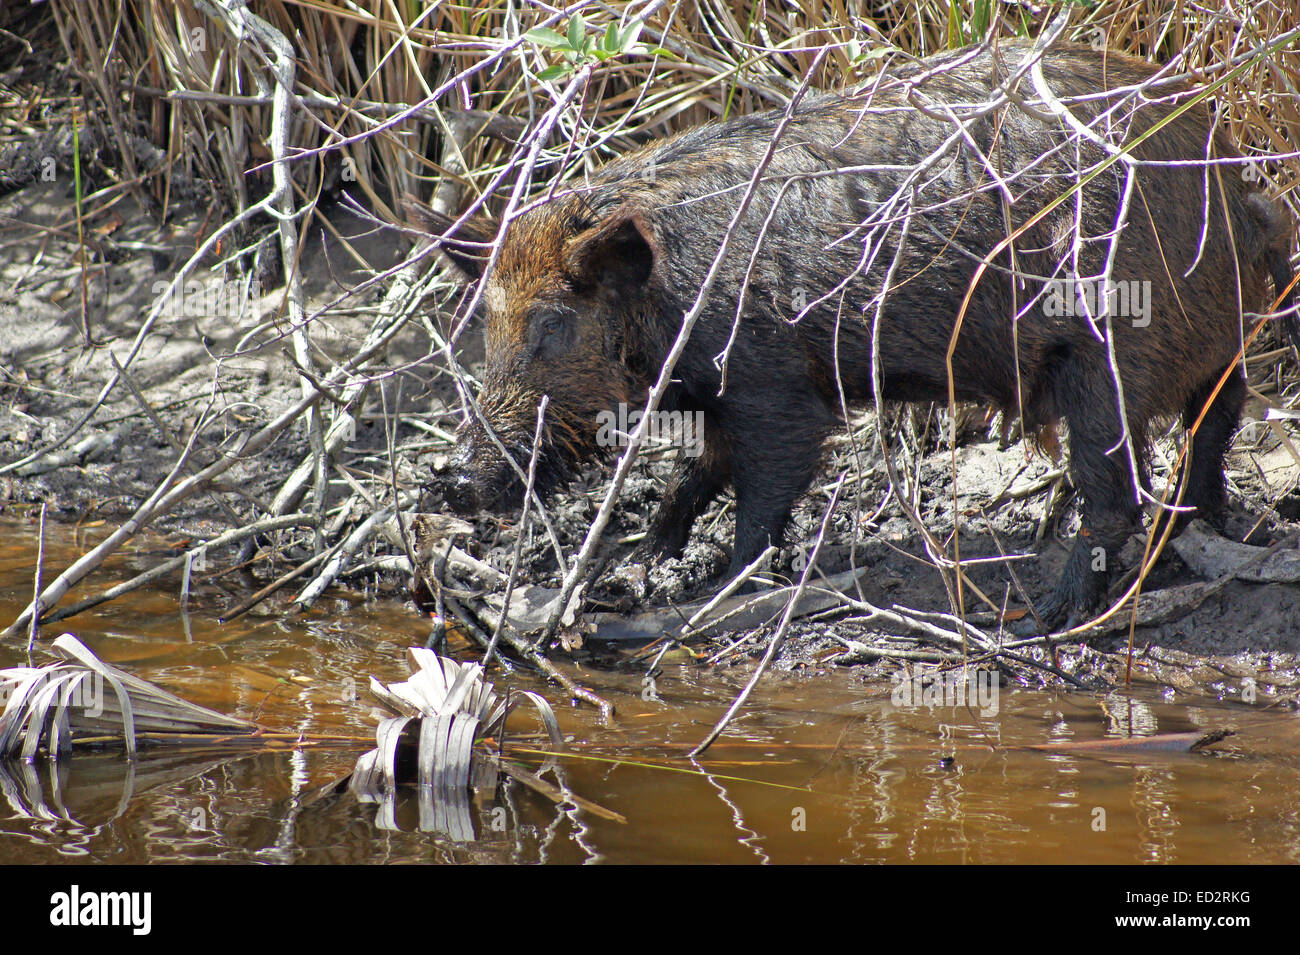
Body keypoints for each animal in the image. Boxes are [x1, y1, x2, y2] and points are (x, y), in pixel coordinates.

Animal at [408, 40, 1299, 632]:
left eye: (552, 324)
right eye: (486, 324)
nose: (449, 479)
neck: (672, 298)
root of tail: (1239, 187)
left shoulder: (773, 381)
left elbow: (767, 484)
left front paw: (718, 585)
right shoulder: (724, 394)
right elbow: (701, 470)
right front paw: (647, 554)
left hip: (1107, 356)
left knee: (1115, 491)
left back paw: (1043, 614)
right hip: (1212, 347)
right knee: (1215, 421)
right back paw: (1201, 527)